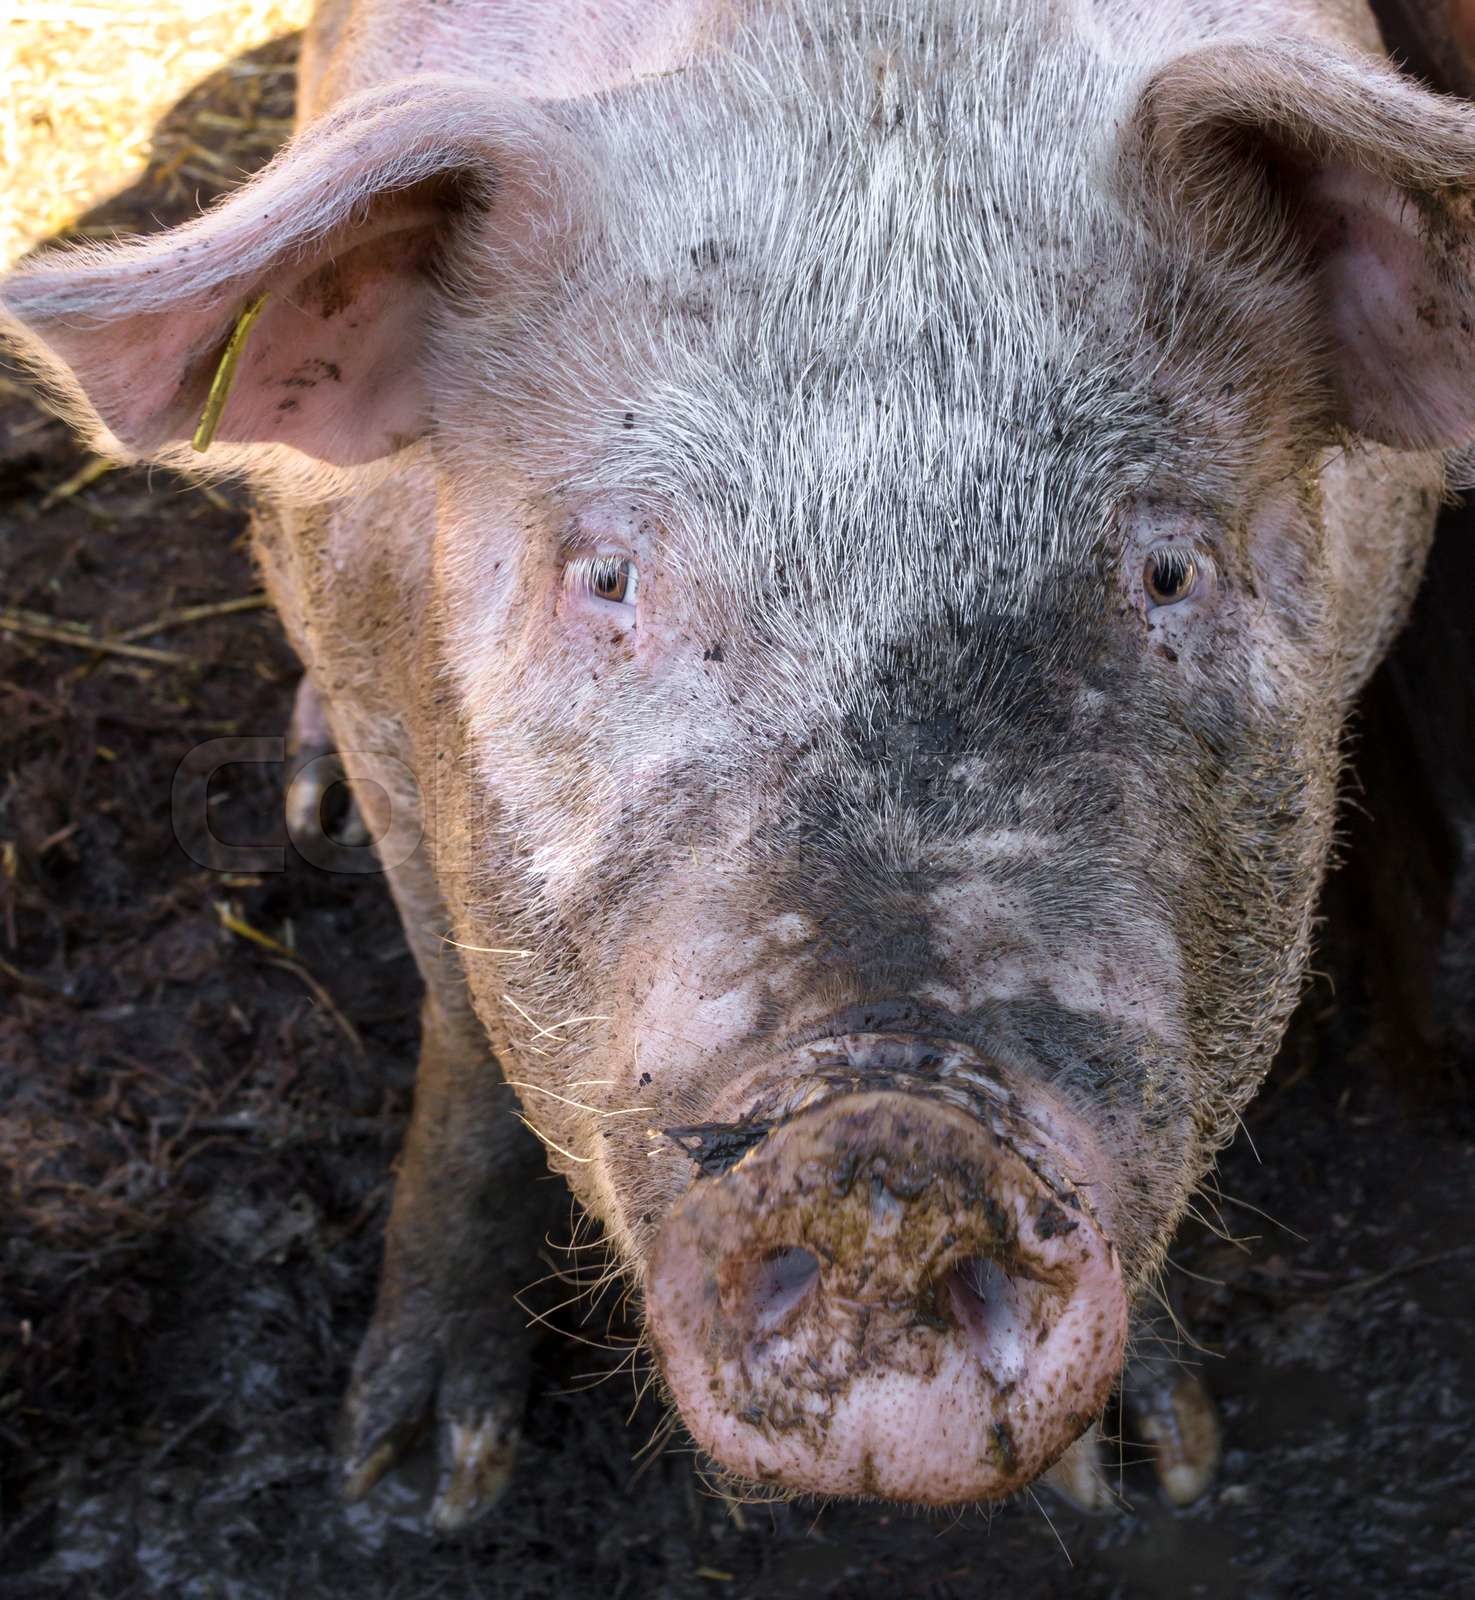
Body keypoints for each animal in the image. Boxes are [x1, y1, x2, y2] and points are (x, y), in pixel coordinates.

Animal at [4, 0, 1471, 1534]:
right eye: (606, 575)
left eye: (1170, 570)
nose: (893, 1144)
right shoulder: (370, 691)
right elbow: (462, 1042)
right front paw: (410, 1485)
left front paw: (1151, 1471)